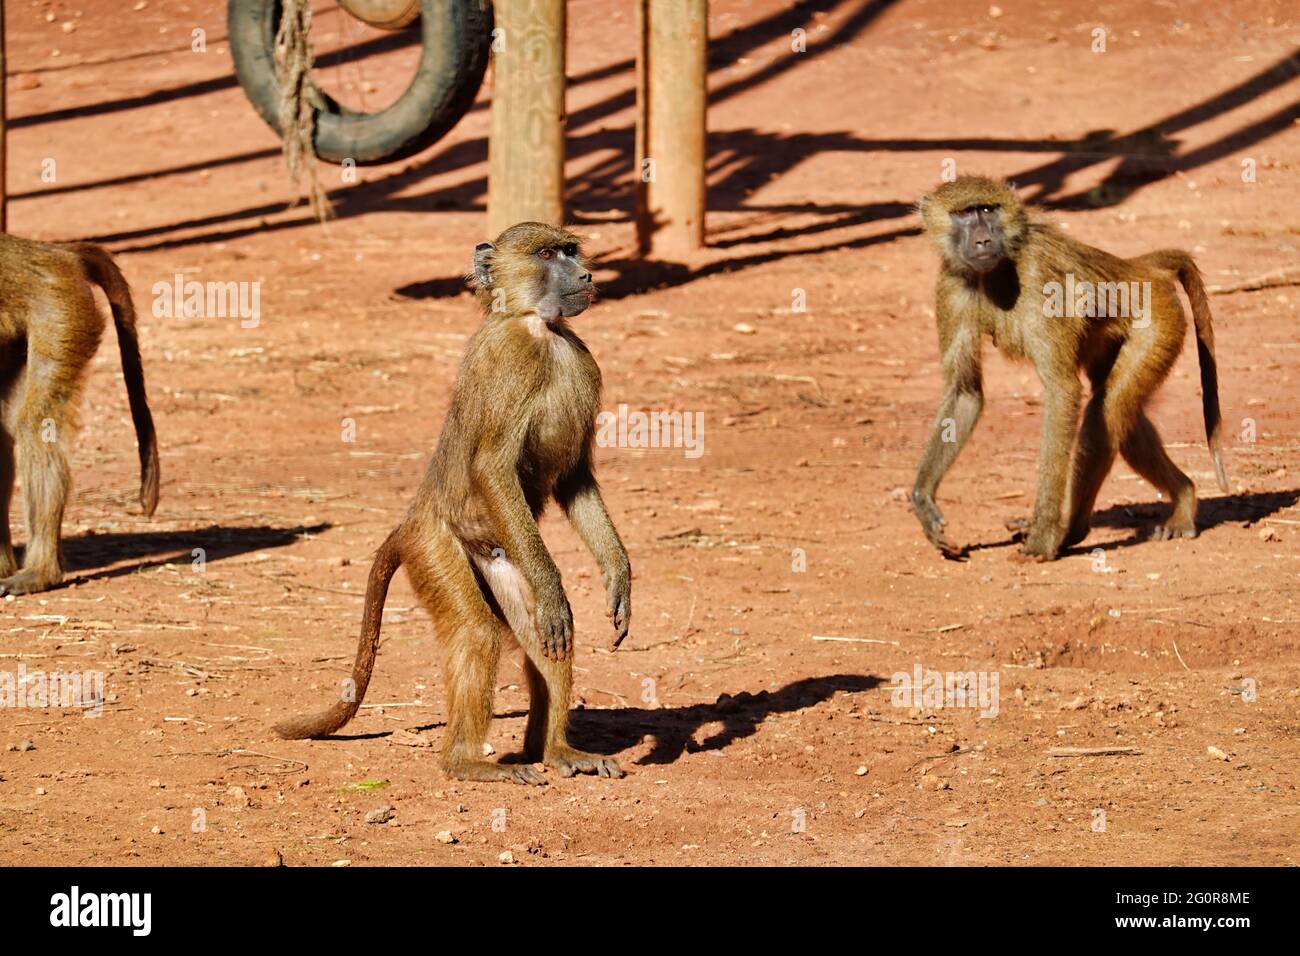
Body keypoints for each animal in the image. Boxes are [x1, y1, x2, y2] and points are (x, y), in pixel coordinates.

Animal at [274, 222, 632, 785]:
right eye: (547, 254)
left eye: (571, 250)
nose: (586, 276)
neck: (539, 330)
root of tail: (412, 517)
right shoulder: (512, 362)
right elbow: (492, 468)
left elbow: (575, 478)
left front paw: (619, 579)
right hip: (435, 547)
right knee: (479, 633)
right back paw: (466, 762)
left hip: (505, 555)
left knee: (545, 636)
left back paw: (557, 752)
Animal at [911, 175, 1228, 561]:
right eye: (963, 214)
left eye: (987, 209)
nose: (983, 240)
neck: (993, 272)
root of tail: (1138, 268)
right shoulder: (951, 286)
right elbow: (964, 393)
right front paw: (923, 500)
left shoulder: (1037, 275)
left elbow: (1062, 390)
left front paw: (1043, 537)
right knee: (1124, 421)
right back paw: (1183, 495)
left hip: (1159, 321)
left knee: (1106, 410)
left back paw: (1070, 531)